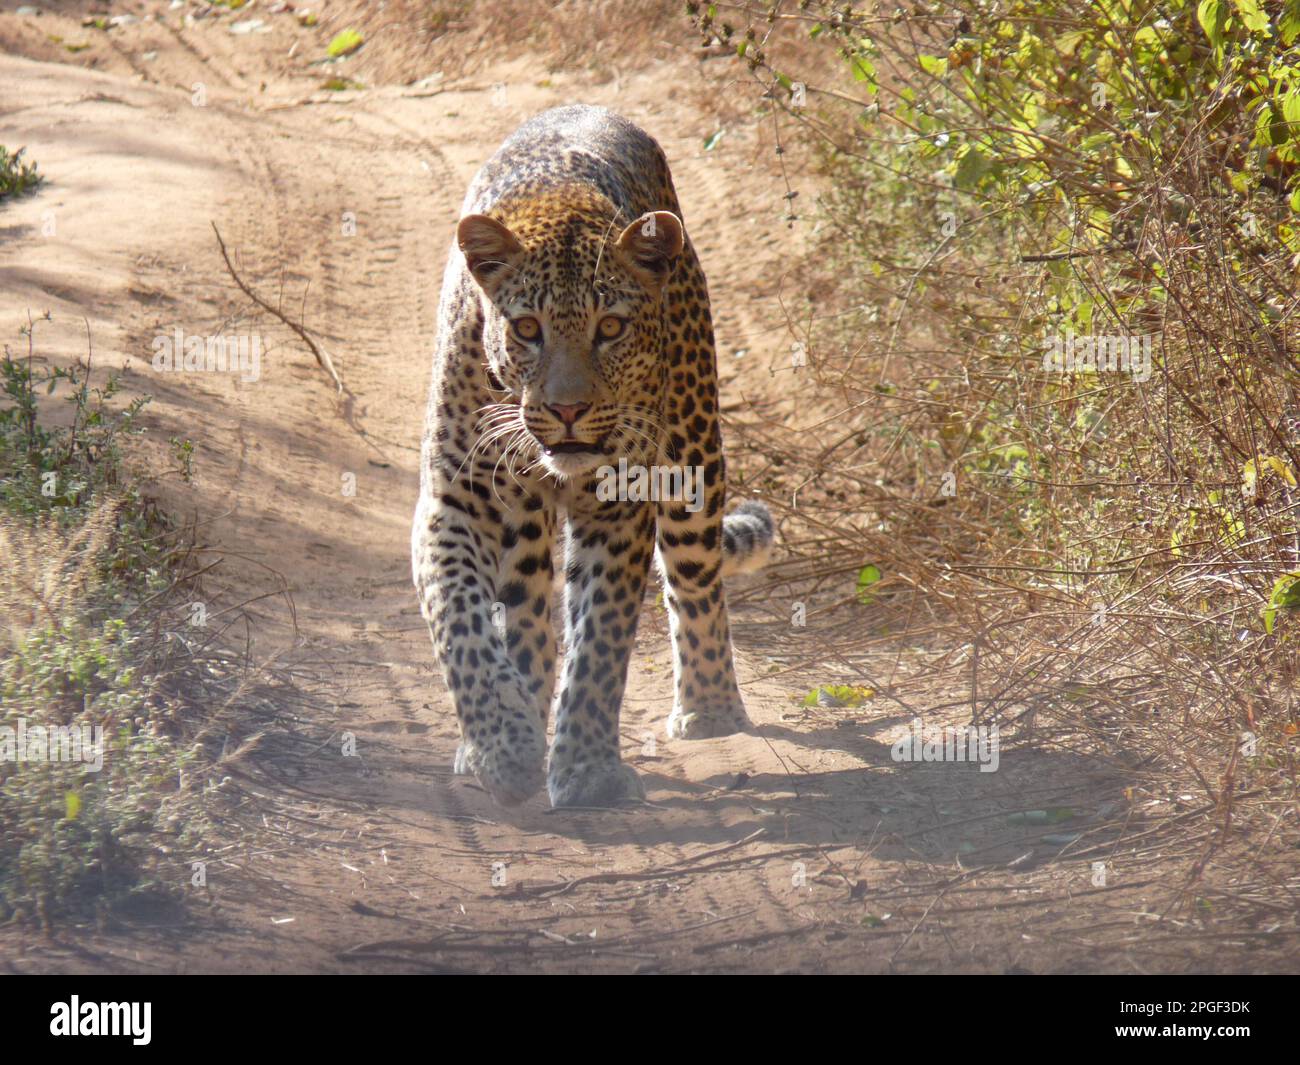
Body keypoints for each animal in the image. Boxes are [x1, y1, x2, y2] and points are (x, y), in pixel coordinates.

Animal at [411, 105, 775, 809]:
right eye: (527, 329)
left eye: (611, 328)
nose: (569, 410)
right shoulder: (455, 496)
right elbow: (461, 621)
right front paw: (503, 745)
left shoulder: (620, 503)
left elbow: (601, 640)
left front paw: (586, 768)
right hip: (521, 520)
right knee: (524, 610)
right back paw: (520, 710)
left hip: (692, 452)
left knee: (694, 578)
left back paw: (710, 707)